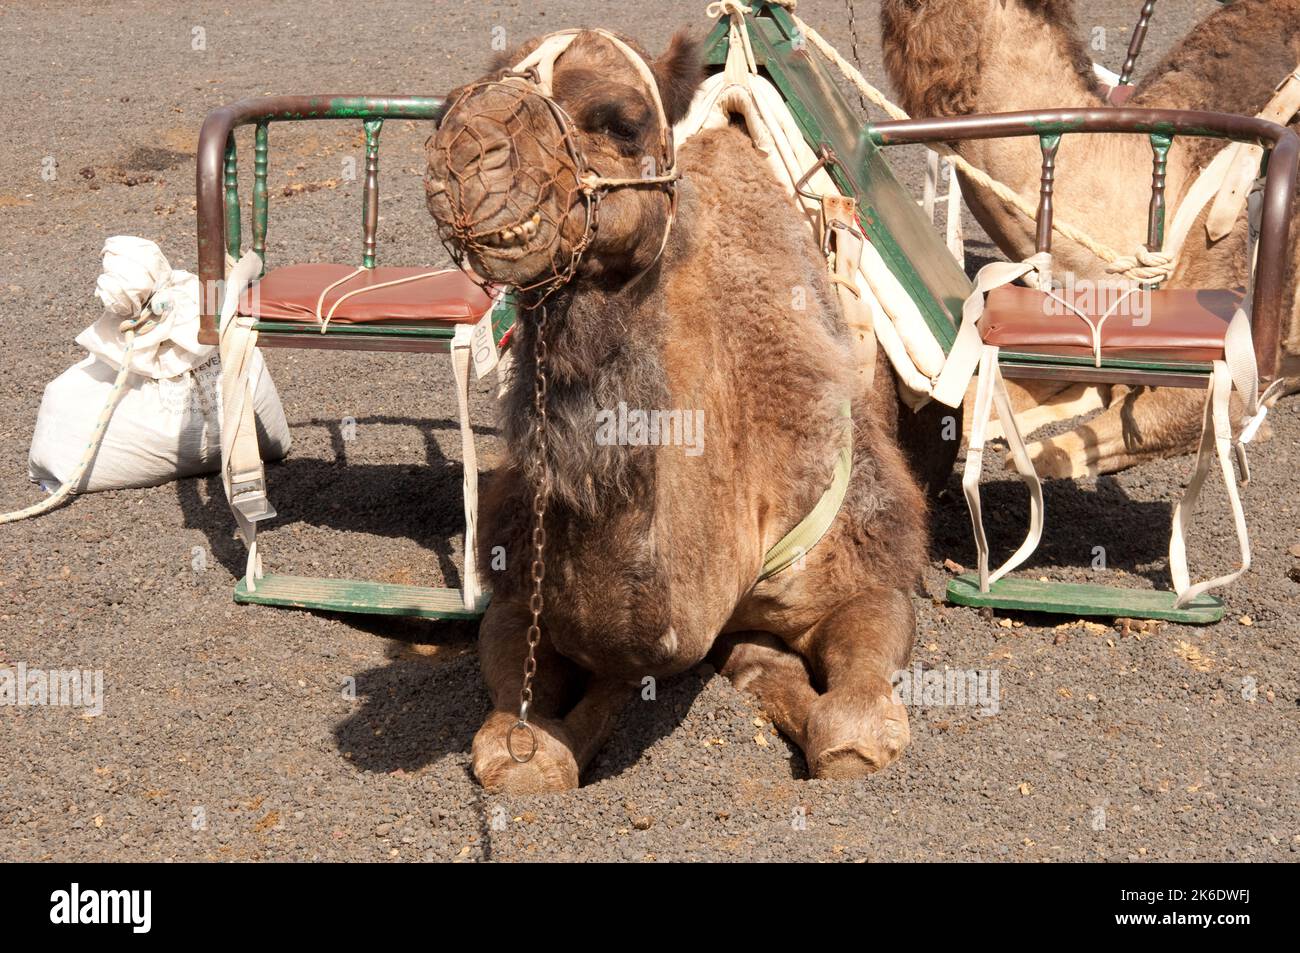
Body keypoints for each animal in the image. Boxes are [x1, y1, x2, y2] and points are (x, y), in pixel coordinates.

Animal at [425, 29, 947, 792]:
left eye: (622, 121)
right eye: (451, 101)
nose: (462, 152)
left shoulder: (863, 565)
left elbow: (850, 730)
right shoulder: (524, 586)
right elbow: (522, 734)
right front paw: (544, 744)